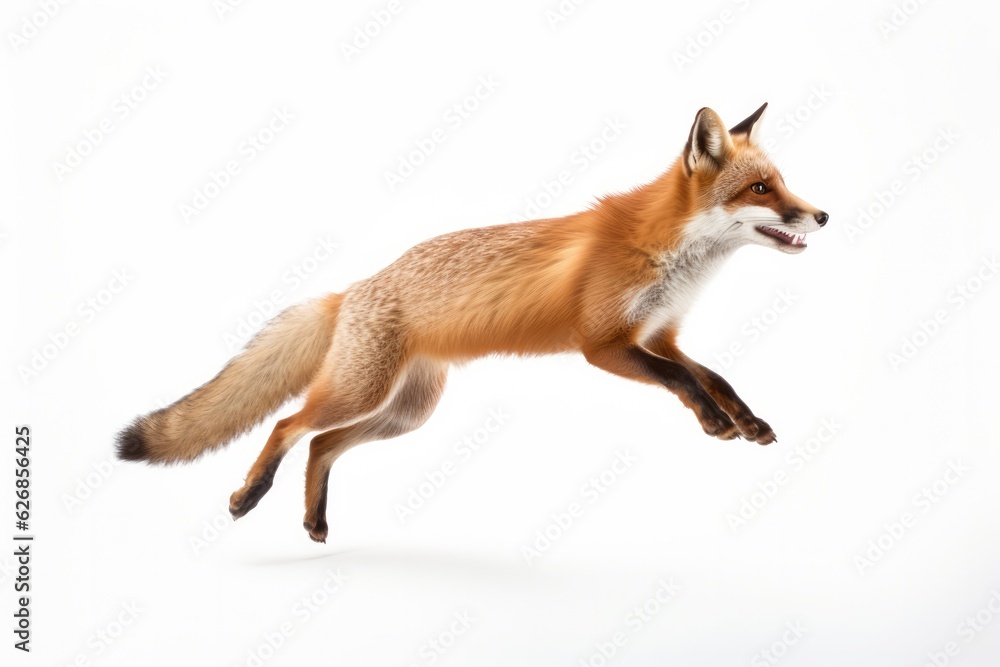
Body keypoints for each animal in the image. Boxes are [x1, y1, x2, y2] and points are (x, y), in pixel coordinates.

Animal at [117, 103, 827, 542]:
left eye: (781, 182)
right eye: (761, 189)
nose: (822, 215)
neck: (670, 255)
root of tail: (352, 289)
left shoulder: (657, 334)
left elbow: (714, 376)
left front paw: (745, 420)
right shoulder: (603, 344)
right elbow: (683, 382)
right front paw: (713, 422)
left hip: (406, 412)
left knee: (321, 446)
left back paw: (314, 521)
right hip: (359, 392)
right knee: (288, 426)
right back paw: (249, 493)